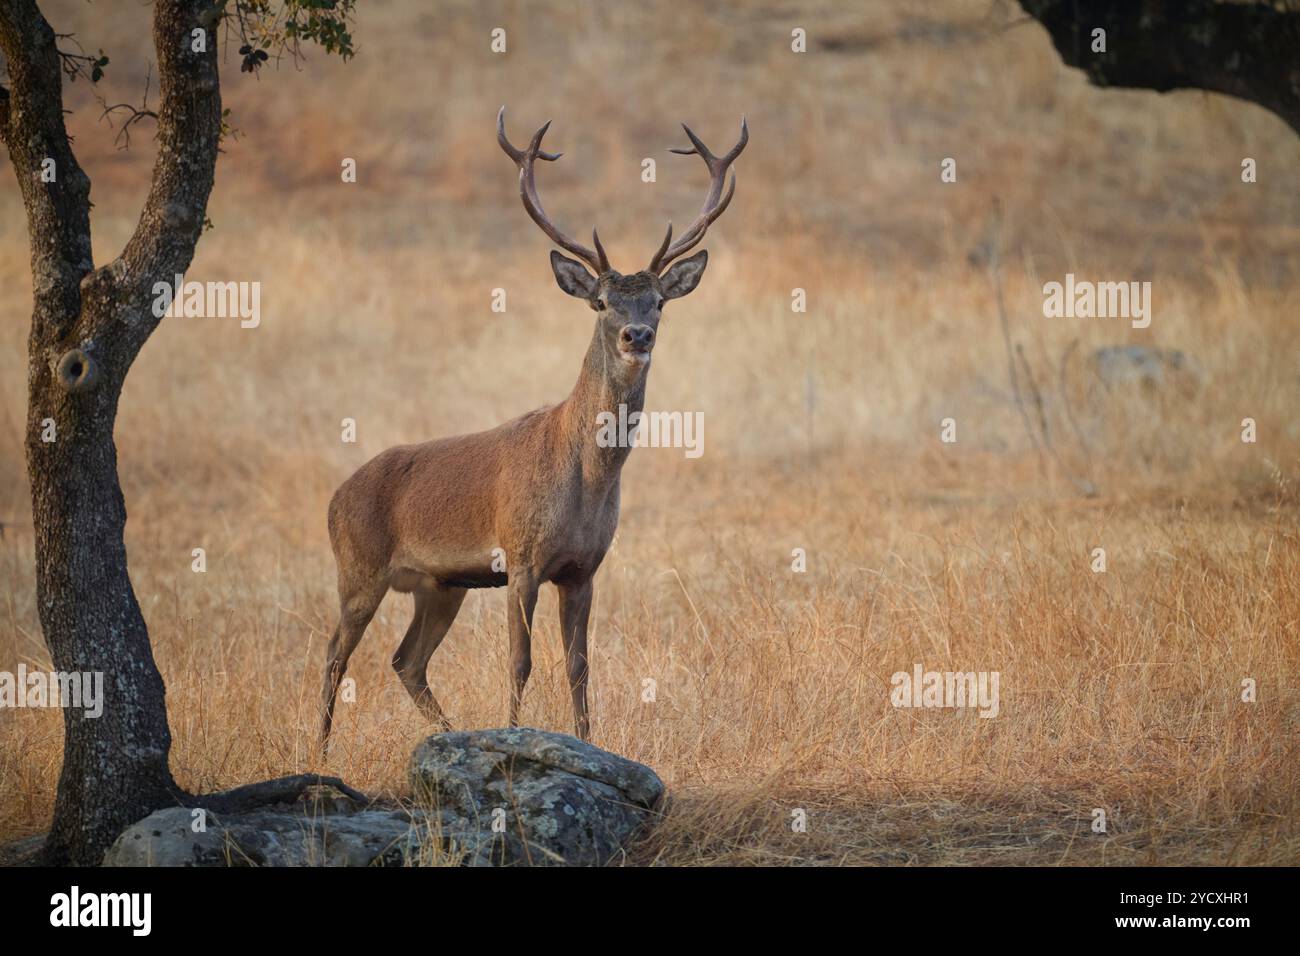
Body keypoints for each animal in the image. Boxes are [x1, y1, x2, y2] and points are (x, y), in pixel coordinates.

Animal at [318, 107, 747, 751]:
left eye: (658, 302)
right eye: (601, 302)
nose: (637, 335)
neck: (586, 481)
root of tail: (335, 498)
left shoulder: (583, 569)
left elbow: (579, 665)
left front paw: (588, 740)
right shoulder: (520, 558)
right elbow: (519, 661)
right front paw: (513, 736)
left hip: (441, 585)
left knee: (405, 660)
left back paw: (446, 732)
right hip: (358, 566)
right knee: (334, 654)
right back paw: (317, 748)